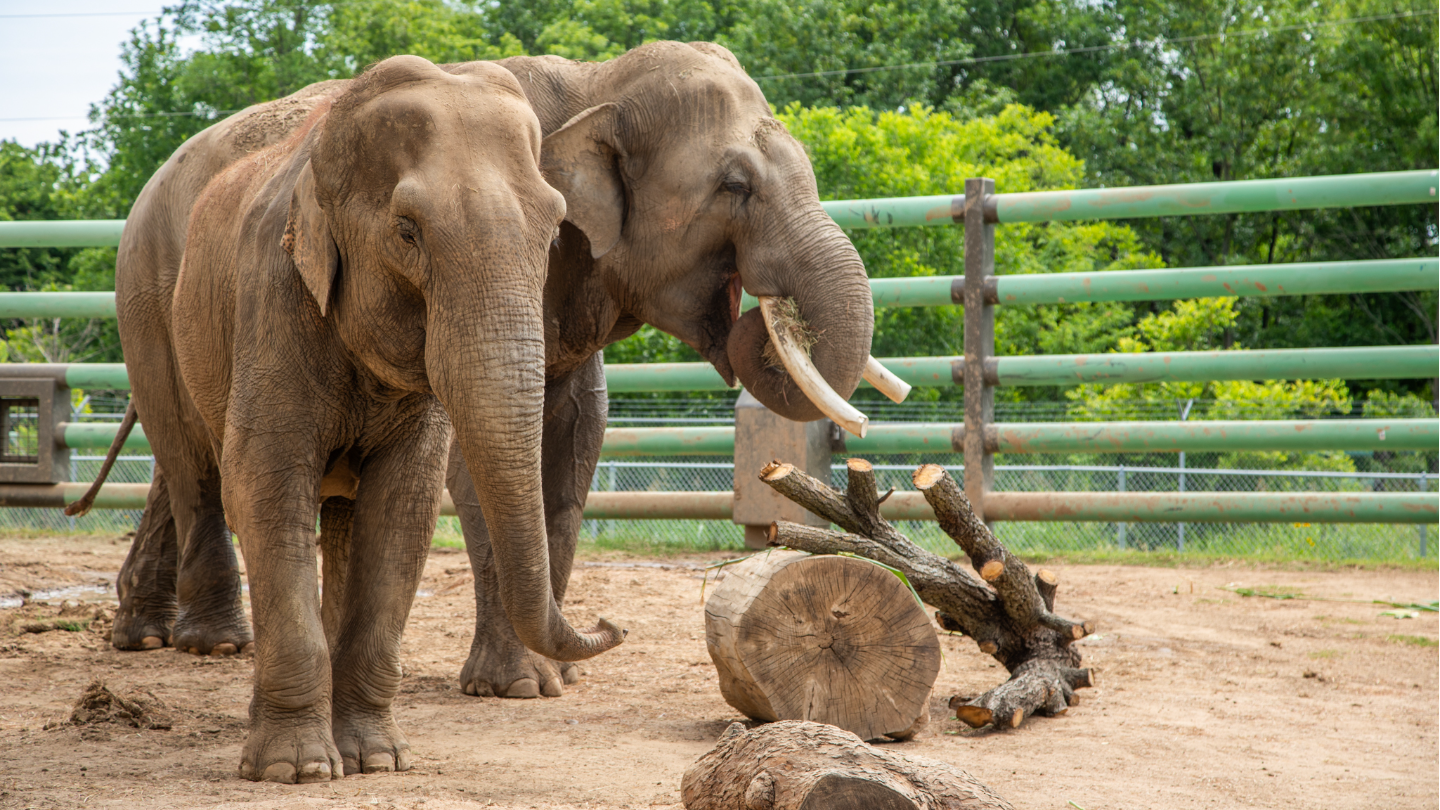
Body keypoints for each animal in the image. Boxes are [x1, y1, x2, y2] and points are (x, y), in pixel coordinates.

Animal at [98, 41, 875, 703]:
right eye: (735, 185)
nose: (763, 315)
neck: (596, 80)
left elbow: (575, 439)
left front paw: (559, 674)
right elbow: (477, 450)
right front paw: (519, 686)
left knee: (190, 450)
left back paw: (146, 632)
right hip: (147, 293)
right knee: (190, 452)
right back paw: (216, 645)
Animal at [107, 54, 623, 783]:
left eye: (555, 231)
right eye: (407, 232)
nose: (611, 624)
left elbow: (403, 509)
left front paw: (376, 760)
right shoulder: (276, 296)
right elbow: (264, 486)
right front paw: (296, 771)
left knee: (341, 517)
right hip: (151, 317)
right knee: (195, 469)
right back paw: (215, 646)